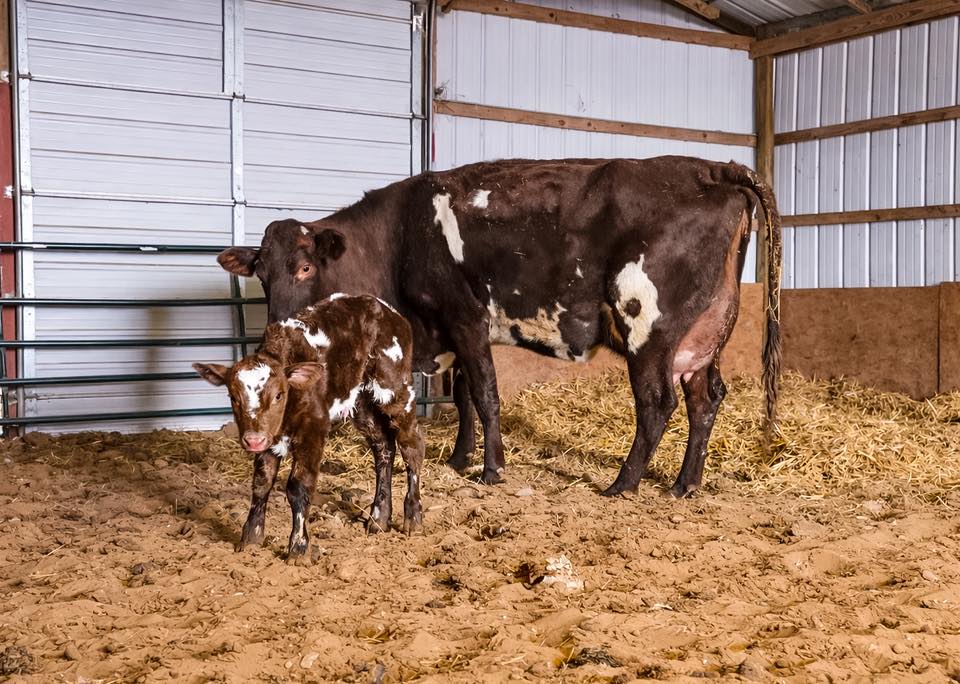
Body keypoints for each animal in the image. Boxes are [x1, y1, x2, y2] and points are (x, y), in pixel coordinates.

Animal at [193, 294, 424, 561]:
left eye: (279, 395)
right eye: (232, 397)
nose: (252, 440)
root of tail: (386, 309)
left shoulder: (313, 428)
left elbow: (298, 486)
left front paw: (299, 548)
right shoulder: (269, 436)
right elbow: (261, 483)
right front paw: (250, 539)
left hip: (397, 389)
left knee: (411, 446)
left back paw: (413, 517)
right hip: (362, 403)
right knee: (383, 447)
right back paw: (379, 518)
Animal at [217, 156, 782, 498]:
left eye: (304, 267)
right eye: (261, 272)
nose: (276, 328)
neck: (400, 236)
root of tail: (712, 168)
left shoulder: (465, 316)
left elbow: (486, 392)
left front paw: (491, 468)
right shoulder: (452, 332)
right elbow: (464, 392)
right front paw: (460, 458)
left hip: (648, 327)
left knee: (657, 403)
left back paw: (623, 484)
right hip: (702, 337)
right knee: (705, 398)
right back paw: (685, 483)